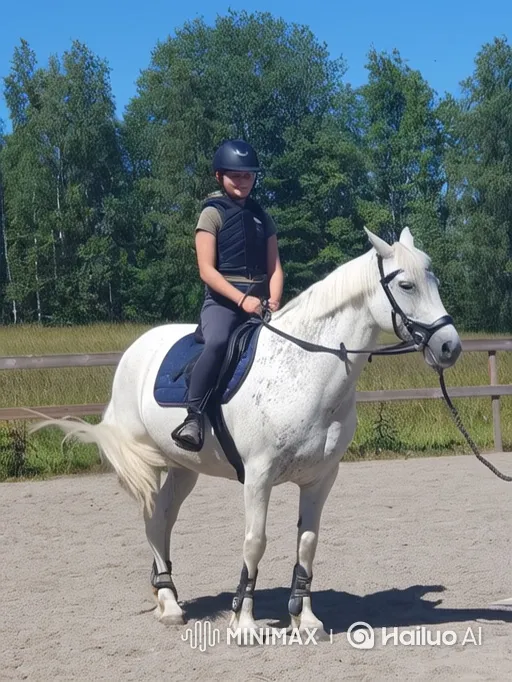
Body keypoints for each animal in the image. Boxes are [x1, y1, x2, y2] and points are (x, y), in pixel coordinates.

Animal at [33, 226, 462, 640]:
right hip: (149, 462)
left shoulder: (321, 479)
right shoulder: (258, 477)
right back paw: (169, 605)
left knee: (162, 519)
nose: (449, 346)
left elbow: (307, 543)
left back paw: (165, 595)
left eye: (435, 280)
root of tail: (133, 353)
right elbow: (255, 543)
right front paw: (243, 622)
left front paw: (305, 619)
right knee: (153, 520)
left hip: (183, 469)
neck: (304, 370)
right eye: (406, 285)